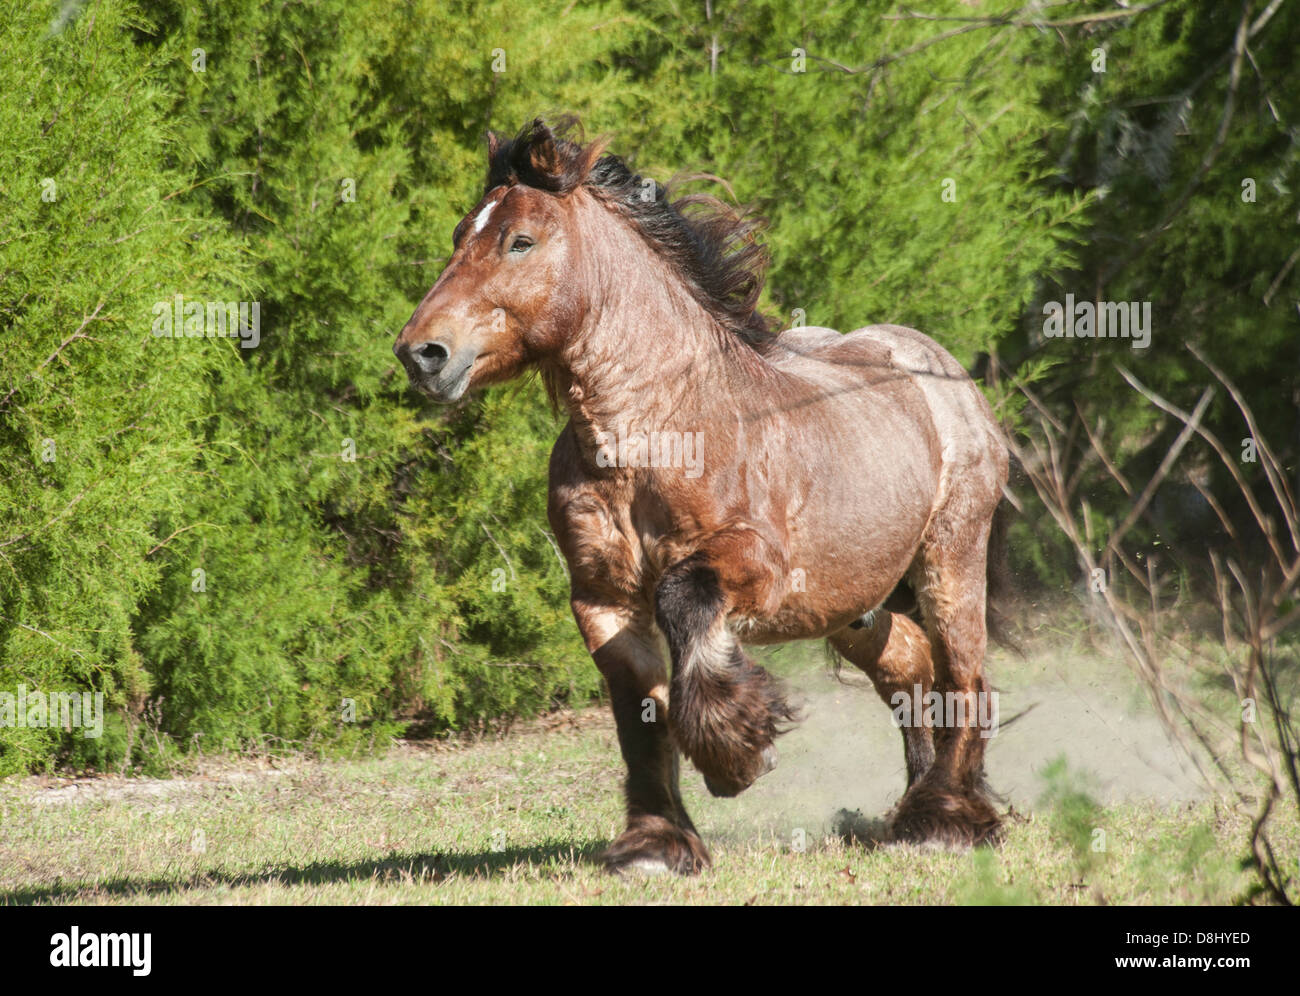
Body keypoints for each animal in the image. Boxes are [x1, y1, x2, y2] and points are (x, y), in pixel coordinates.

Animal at [390, 120, 1008, 878]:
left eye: (519, 241)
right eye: (458, 235)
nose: (421, 353)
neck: (655, 435)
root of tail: (940, 369)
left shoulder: (759, 567)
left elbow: (684, 597)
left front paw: (736, 752)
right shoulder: (603, 598)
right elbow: (639, 714)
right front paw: (656, 844)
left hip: (950, 559)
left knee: (965, 678)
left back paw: (945, 818)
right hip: (852, 604)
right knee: (910, 669)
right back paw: (913, 807)